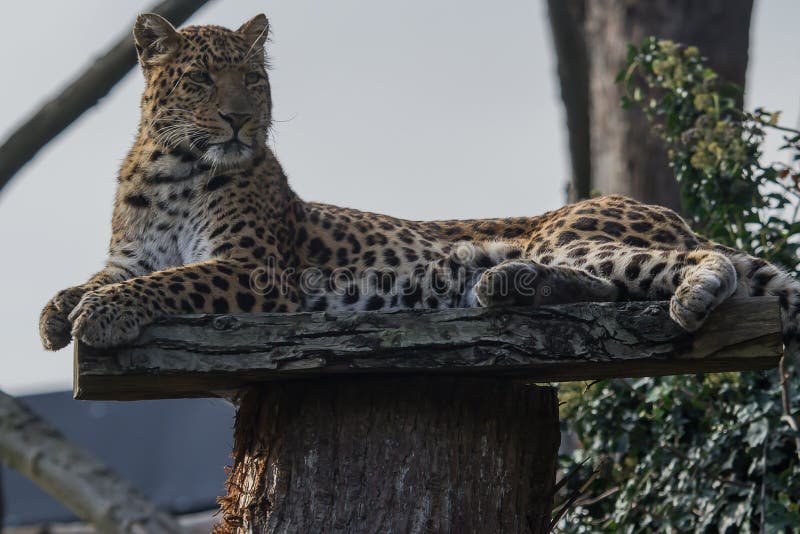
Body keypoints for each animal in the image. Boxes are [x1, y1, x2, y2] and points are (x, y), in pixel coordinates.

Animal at [39, 13, 800, 371]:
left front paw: (101, 315)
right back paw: (505, 283)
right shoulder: (127, 257)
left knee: (697, 265)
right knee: (608, 286)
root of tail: (662, 210)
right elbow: (91, 280)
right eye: (200, 80)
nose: (238, 119)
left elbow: (168, 283)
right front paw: (56, 313)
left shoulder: (255, 269)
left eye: (252, 80)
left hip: (577, 234)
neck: (172, 167)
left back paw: (693, 293)